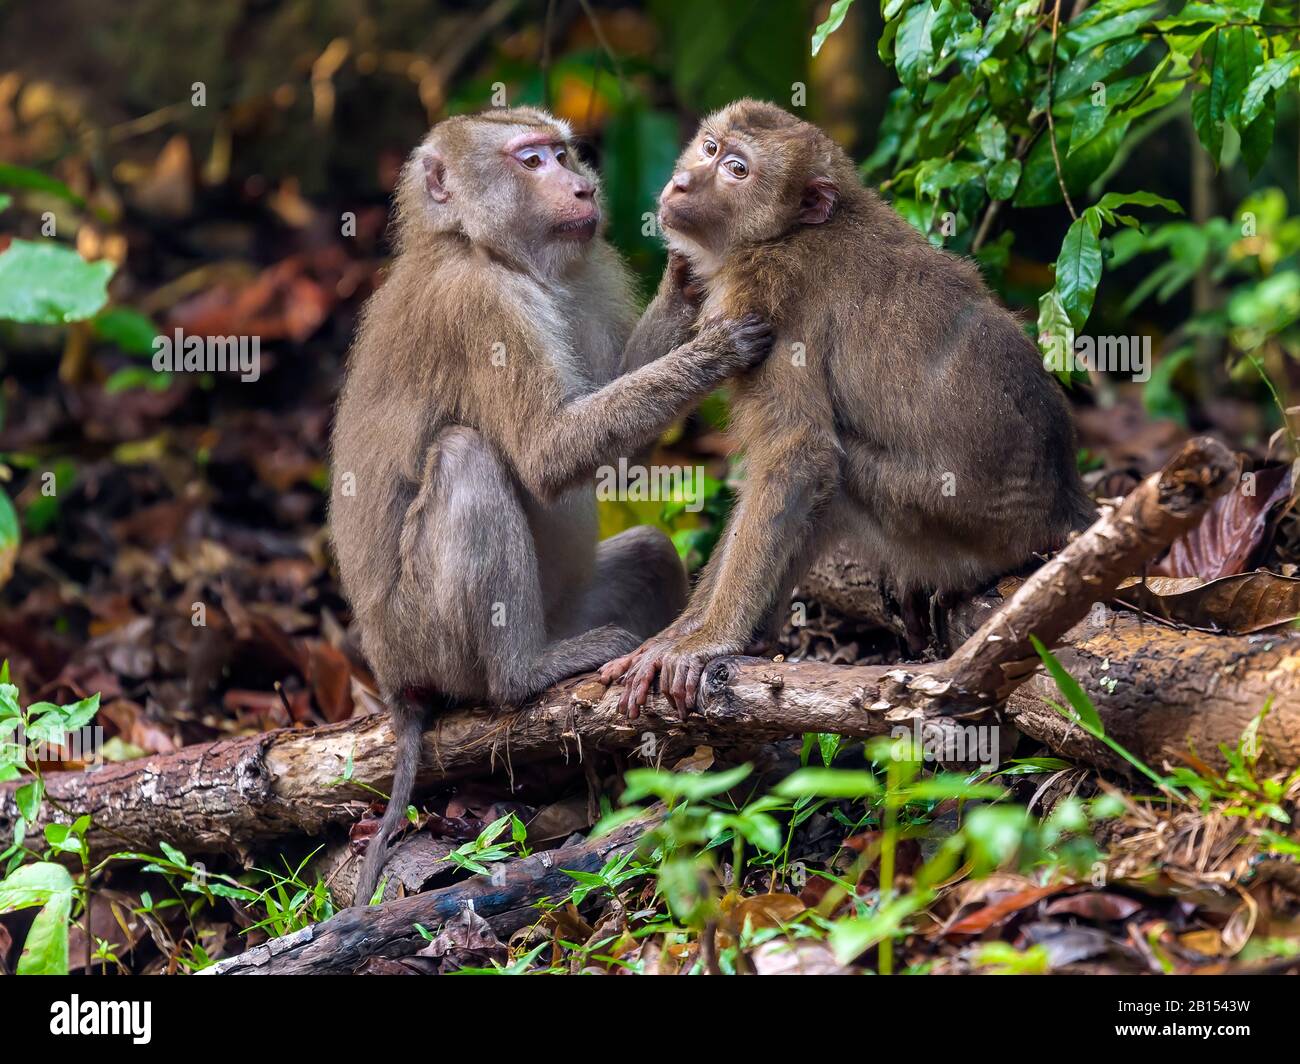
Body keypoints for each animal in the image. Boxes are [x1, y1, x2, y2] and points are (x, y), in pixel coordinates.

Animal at [329, 108, 773, 904]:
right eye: (530, 159)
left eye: (564, 154)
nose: (581, 186)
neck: (478, 246)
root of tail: (394, 683)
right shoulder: (481, 305)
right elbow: (548, 452)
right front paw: (715, 349)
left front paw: (688, 278)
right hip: (430, 640)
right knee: (468, 457)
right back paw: (523, 674)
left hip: (563, 607)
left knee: (649, 556)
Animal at [600, 99, 1095, 717]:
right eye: (710, 148)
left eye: (737, 170)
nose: (683, 182)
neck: (781, 234)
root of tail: (1063, 497)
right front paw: (677, 634)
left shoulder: (767, 299)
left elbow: (798, 453)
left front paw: (707, 640)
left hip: (955, 526)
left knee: (835, 475)